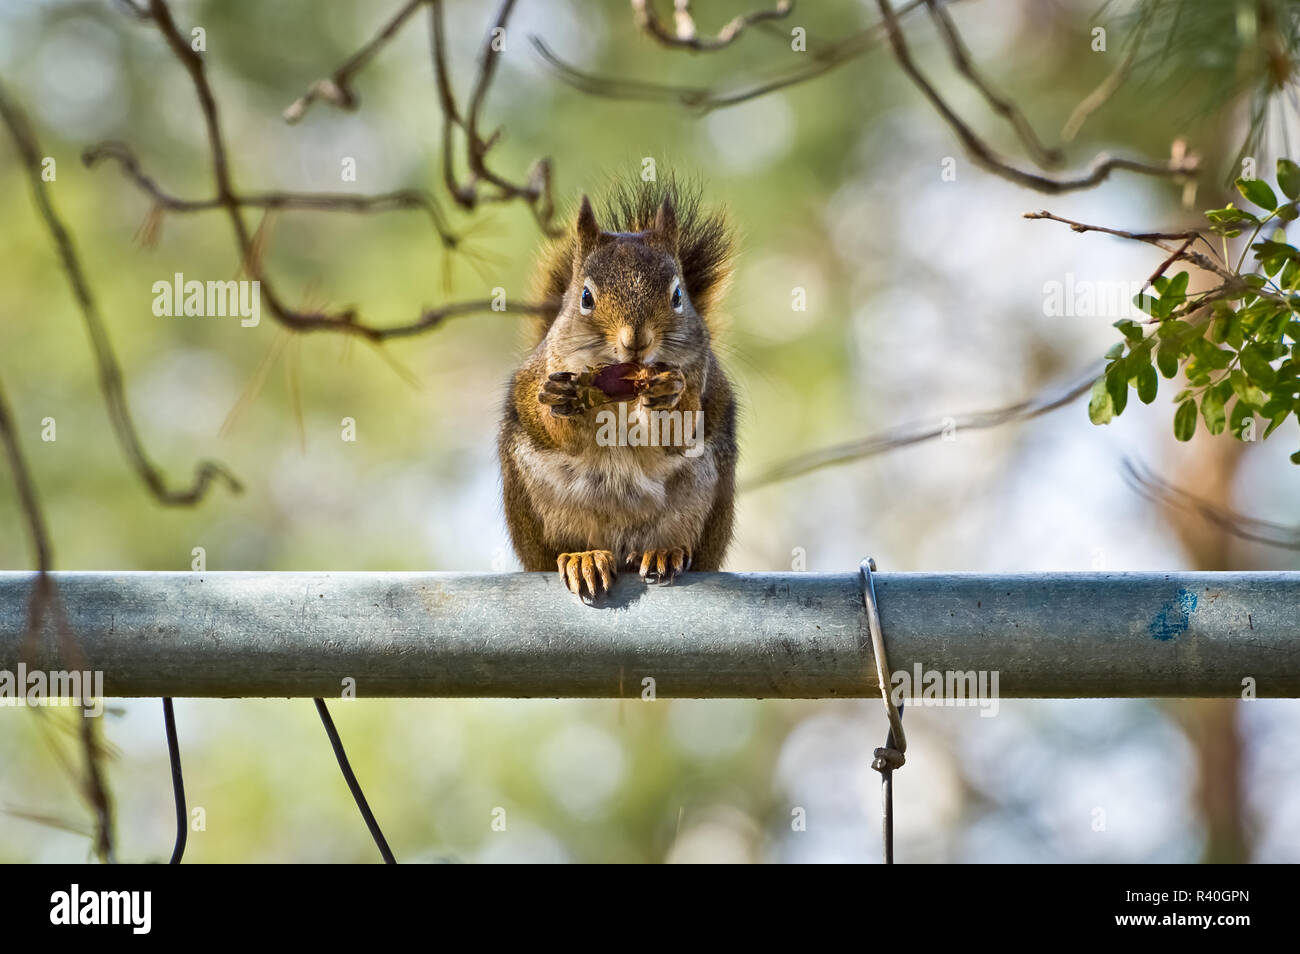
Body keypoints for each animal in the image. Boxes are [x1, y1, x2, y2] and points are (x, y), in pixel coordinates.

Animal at [498, 177, 738, 604]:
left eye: (678, 296)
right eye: (586, 298)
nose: (635, 341)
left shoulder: (699, 377)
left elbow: (680, 430)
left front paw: (668, 395)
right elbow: (561, 431)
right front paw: (562, 402)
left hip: (705, 503)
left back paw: (664, 552)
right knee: (563, 549)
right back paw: (584, 558)